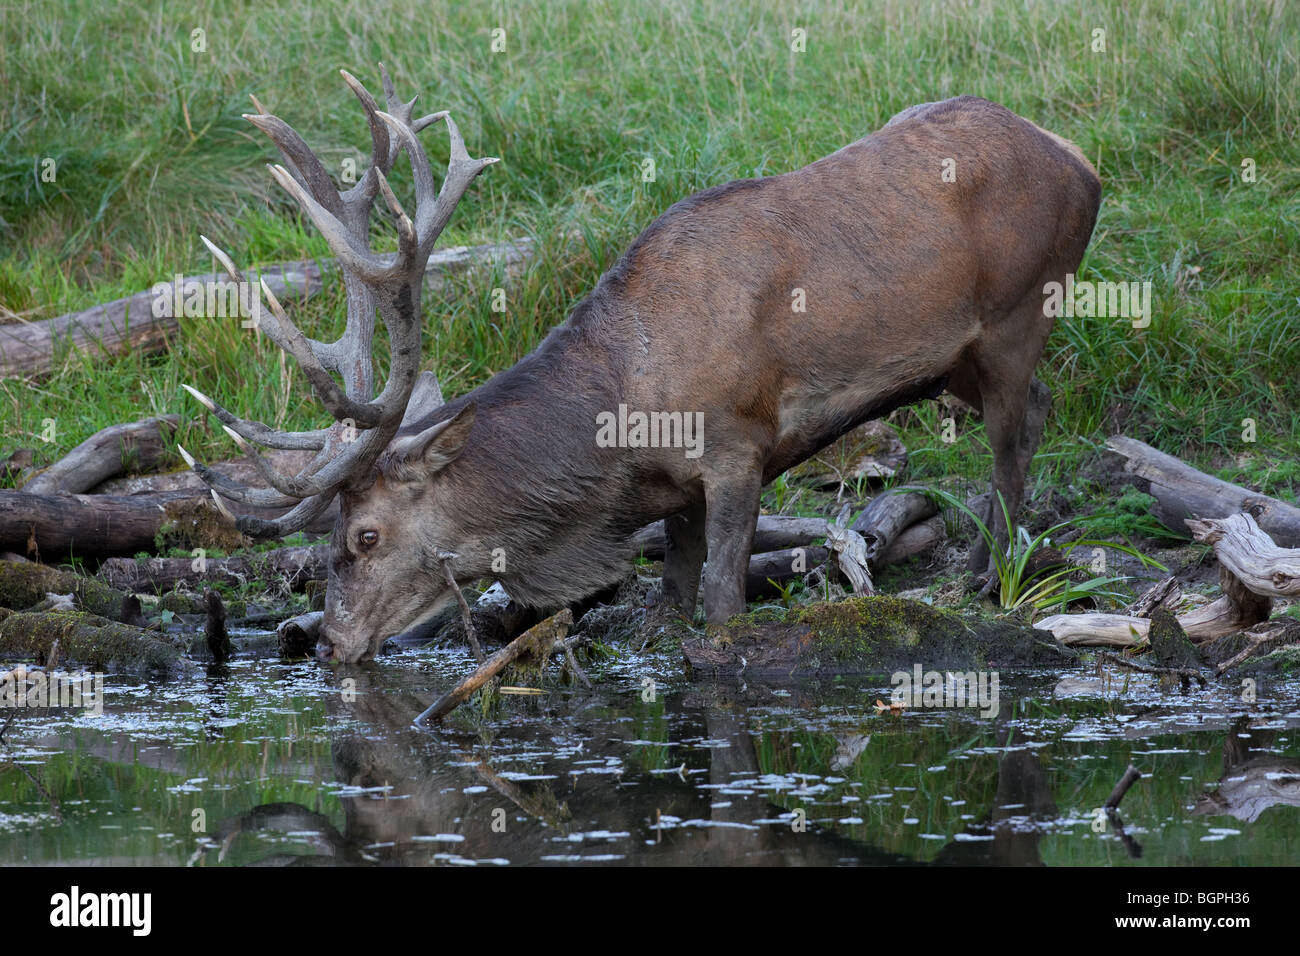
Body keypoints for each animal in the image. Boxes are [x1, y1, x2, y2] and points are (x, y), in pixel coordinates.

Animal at [179, 66, 1101, 664]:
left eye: (365, 535)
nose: (331, 642)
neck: (624, 425)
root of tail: (1084, 162)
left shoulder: (737, 442)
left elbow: (723, 597)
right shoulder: (675, 486)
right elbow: (672, 593)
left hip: (1021, 308)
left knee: (1016, 435)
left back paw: (987, 574)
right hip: (960, 359)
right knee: (1038, 410)